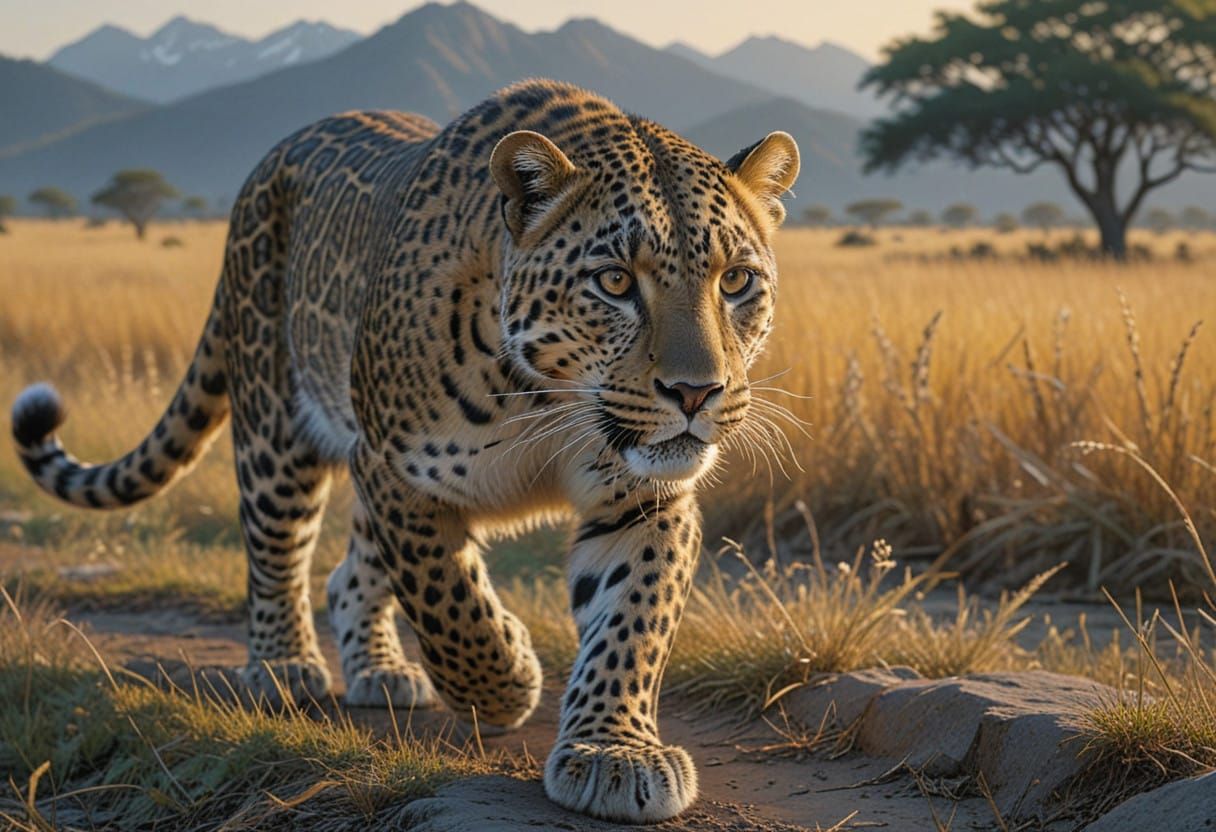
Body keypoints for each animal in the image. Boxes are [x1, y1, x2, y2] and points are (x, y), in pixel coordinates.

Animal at [10, 79, 799, 824]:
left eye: (736, 281)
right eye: (614, 282)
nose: (697, 393)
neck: (548, 401)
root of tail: (276, 156)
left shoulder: (640, 496)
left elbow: (633, 621)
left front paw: (613, 749)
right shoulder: (398, 471)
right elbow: (447, 601)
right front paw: (507, 680)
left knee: (346, 575)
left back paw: (380, 670)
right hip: (276, 423)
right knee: (276, 547)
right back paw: (283, 665)